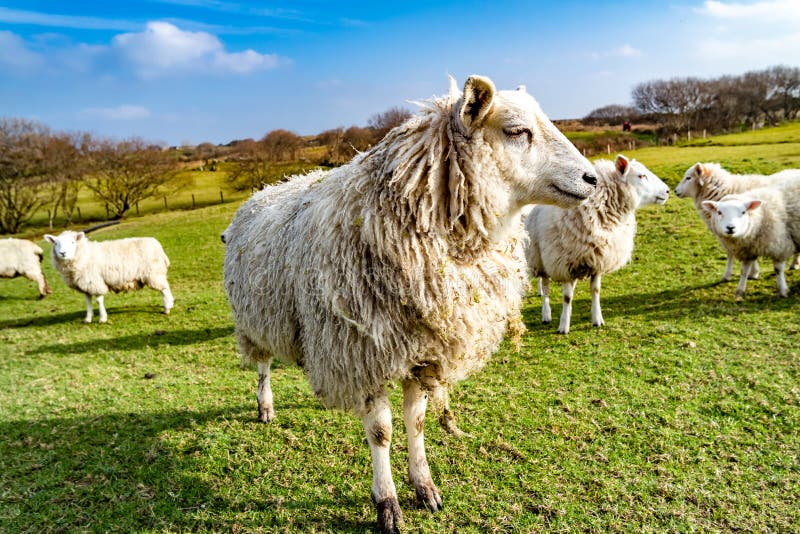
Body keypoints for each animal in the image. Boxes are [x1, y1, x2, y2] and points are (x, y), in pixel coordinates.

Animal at [44, 230, 173, 323]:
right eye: (56, 243)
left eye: (72, 242)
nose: (63, 253)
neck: (85, 255)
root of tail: (157, 245)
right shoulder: (85, 284)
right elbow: (88, 301)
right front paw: (88, 319)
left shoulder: (95, 281)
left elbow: (98, 300)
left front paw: (102, 318)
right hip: (156, 273)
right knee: (165, 287)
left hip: (153, 273)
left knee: (164, 289)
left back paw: (167, 308)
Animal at [222, 75, 598, 533]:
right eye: (516, 131)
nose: (592, 179)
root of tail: (262, 191)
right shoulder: (364, 352)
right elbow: (381, 433)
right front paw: (386, 503)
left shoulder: (423, 350)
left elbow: (415, 421)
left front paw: (425, 487)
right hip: (254, 320)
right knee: (262, 366)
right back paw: (265, 407)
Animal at [526, 155, 669, 334]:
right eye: (641, 176)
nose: (667, 191)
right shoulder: (564, 262)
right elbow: (567, 297)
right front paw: (563, 326)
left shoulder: (597, 260)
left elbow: (595, 291)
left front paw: (597, 319)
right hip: (541, 257)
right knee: (545, 287)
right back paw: (546, 314)